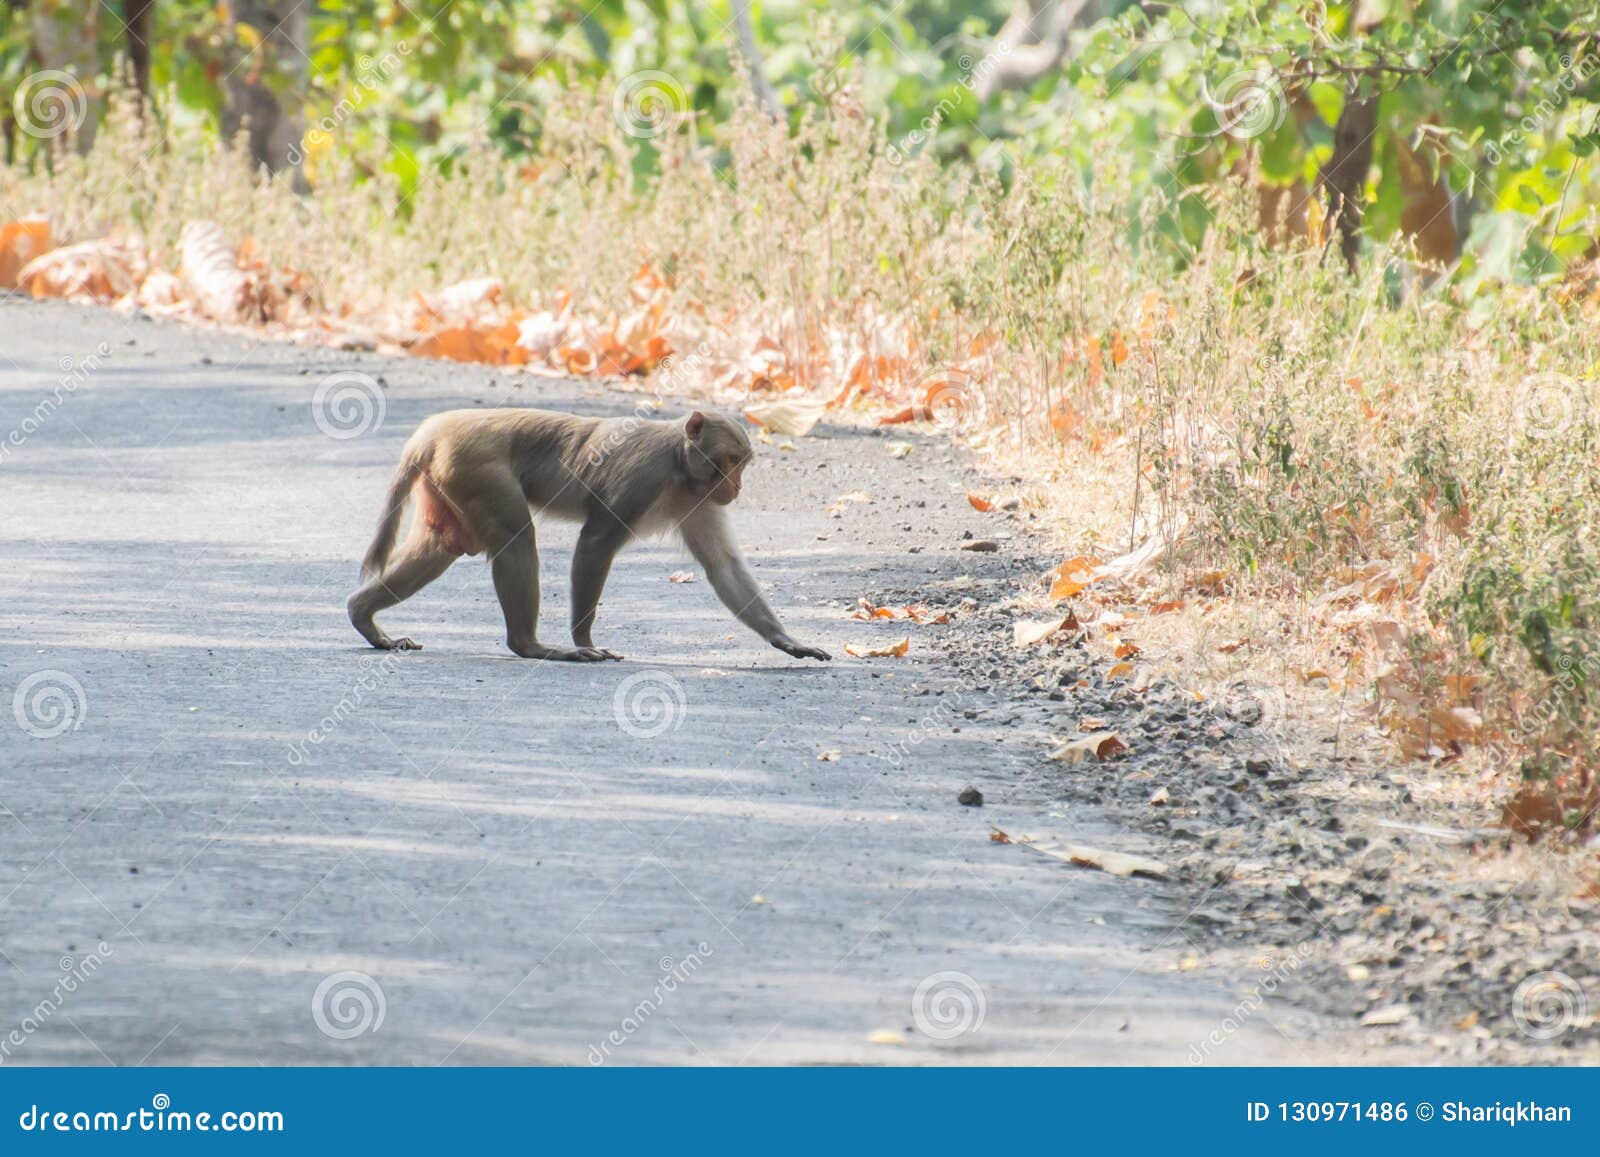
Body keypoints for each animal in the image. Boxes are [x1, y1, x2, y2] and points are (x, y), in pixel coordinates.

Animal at [346, 407, 832, 663]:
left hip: (450, 480)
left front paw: (787, 641)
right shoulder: (643, 477)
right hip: (475, 469)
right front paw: (586, 642)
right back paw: (532, 646)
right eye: (729, 461)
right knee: (516, 537)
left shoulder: (699, 501)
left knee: (442, 545)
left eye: (742, 464)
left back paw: (363, 616)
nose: (737, 486)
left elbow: (723, 567)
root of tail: (435, 428)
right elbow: (596, 542)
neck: (678, 466)